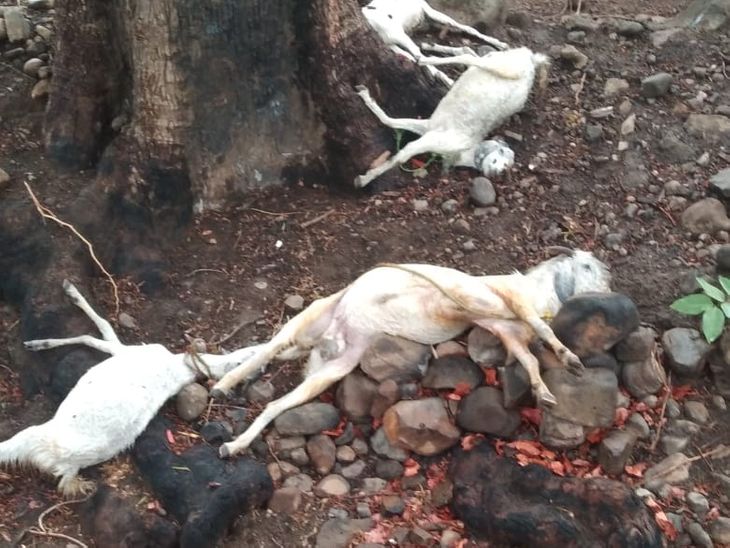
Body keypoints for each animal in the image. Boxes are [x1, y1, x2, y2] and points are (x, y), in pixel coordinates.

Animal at [0, 280, 258, 497]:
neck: (181, 367)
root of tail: (50, 456)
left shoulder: (126, 351)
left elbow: (96, 334)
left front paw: (44, 334)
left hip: (35, 434)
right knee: (64, 481)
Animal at [211, 248, 611, 459]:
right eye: (587, 265)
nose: (610, 283)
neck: (538, 292)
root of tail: (330, 335)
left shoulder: (506, 332)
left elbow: (527, 356)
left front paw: (544, 392)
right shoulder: (494, 297)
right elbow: (538, 327)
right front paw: (570, 359)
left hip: (334, 367)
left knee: (275, 405)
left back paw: (233, 444)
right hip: (308, 318)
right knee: (264, 351)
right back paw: (224, 384)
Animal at [354, 47, 550, 188]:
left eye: (510, 166)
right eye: (502, 152)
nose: (500, 172)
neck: (464, 151)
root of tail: (531, 59)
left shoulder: (429, 128)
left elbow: (391, 121)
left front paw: (367, 97)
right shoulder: (433, 138)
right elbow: (401, 155)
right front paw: (363, 179)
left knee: (471, 55)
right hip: (506, 67)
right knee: (470, 57)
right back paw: (425, 58)